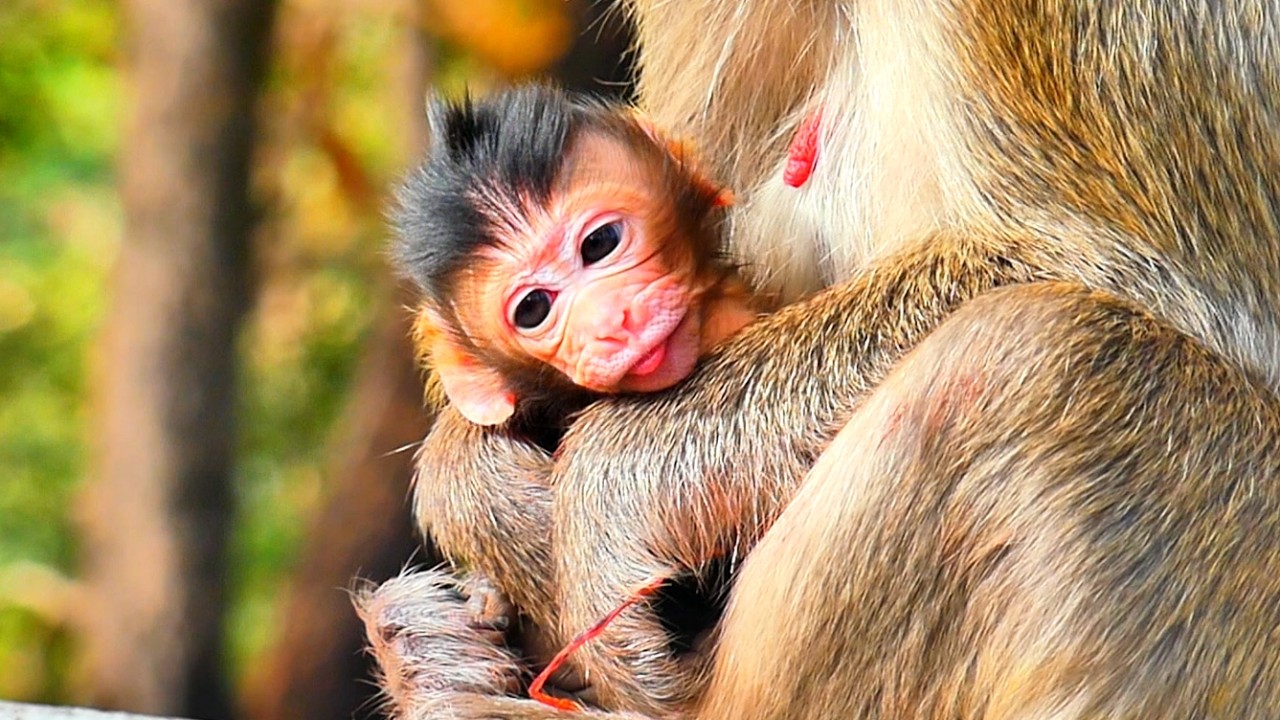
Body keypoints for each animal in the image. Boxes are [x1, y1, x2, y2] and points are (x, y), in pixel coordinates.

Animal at [358, 1, 1280, 718]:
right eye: (534, 308)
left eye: (602, 245)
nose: (616, 320)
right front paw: (479, 483)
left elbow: (1142, 275)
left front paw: (609, 481)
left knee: (1027, 357)